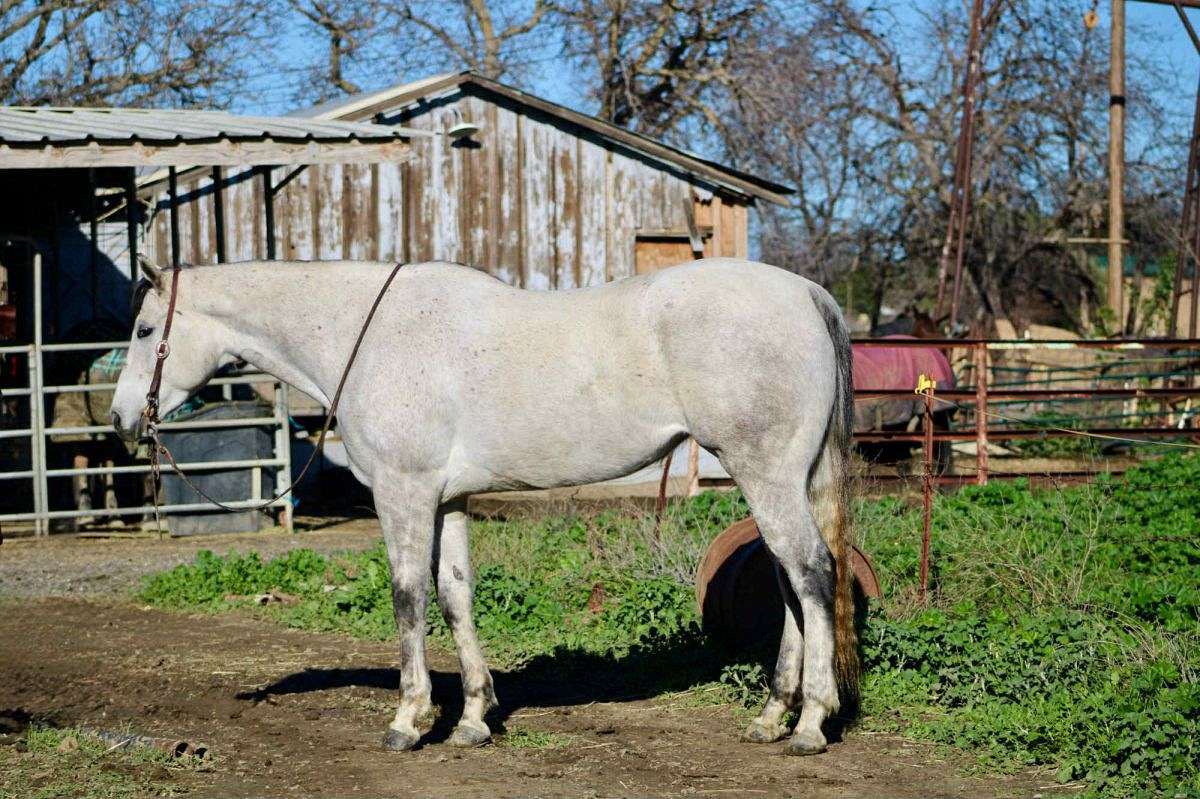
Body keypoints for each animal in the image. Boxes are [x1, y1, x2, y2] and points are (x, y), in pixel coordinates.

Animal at [109, 256, 859, 756]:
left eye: (145, 330)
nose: (120, 420)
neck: (370, 335)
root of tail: (807, 294)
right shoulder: (450, 499)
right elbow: (455, 595)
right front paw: (472, 717)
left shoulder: (404, 492)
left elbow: (408, 596)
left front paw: (409, 720)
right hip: (778, 479)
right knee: (793, 584)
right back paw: (771, 717)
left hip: (765, 473)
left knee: (813, 575)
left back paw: (810, 725)